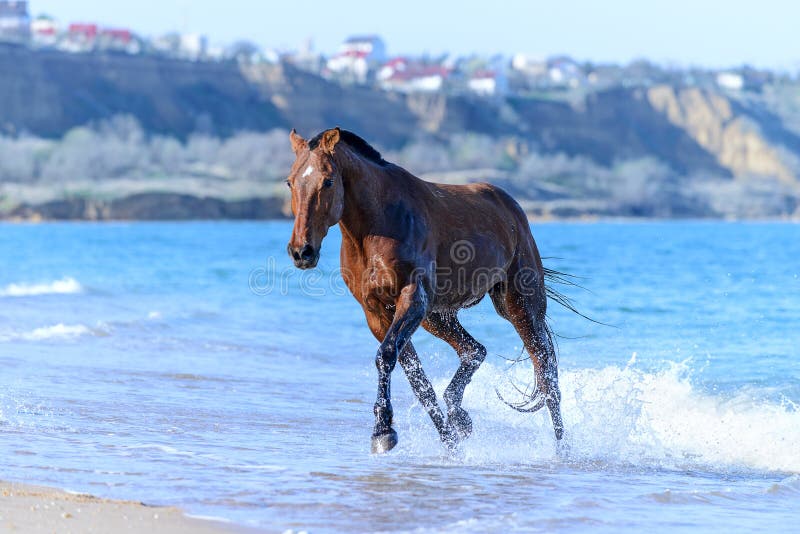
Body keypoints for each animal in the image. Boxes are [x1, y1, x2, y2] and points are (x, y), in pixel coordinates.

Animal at [284, 127, 564, 453]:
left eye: (328, 181)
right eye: (290, 181)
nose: (302, 251)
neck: (377, 226)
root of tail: (513, 209)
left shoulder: (412, 299)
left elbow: (387, 357)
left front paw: (382, 431)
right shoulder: (376, 312)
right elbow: (417, 380)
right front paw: (449, 441)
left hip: (520, 307)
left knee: (547, 375)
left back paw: (563, 451)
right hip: (437, 316)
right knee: (474, 350)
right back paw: (459, 415)